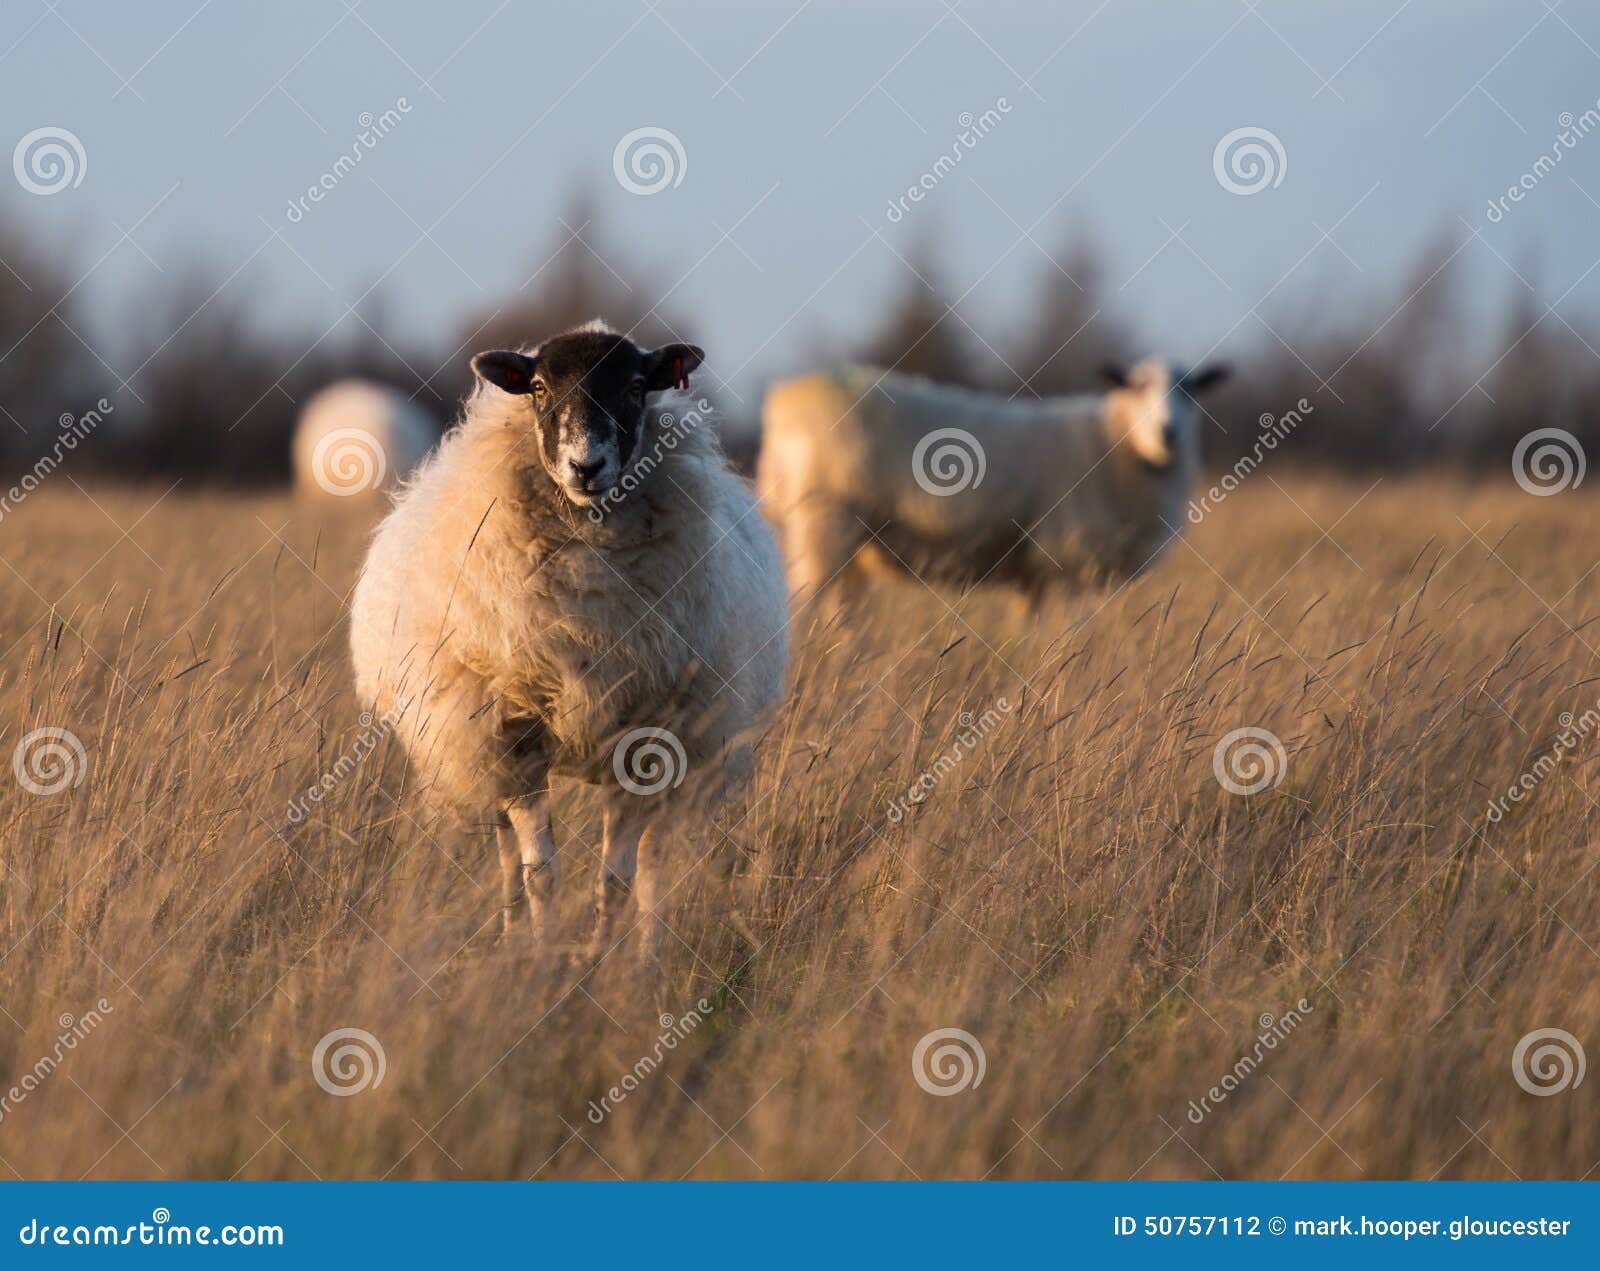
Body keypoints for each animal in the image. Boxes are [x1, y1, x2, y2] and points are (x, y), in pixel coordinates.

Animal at [349, 321, 788, 957]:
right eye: (537, 386)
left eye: (635, 385)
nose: (587, 466)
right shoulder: (513, 739)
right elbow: (543, 872)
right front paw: (540, 954)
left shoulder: (646, 744)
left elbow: (617, 878)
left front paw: (603, 961)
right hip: (477, 739)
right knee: (508, 853)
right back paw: (512, 936)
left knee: (654, 860)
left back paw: (649, 954)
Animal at [757, 359, 1229, 612]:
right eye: (1137, 386)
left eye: (1191, 389)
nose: (1169, 432)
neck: (1113, 445)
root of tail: (787, 403)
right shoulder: (1072, 562)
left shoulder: (1036, 575)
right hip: (822, 522)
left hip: (846, 543)